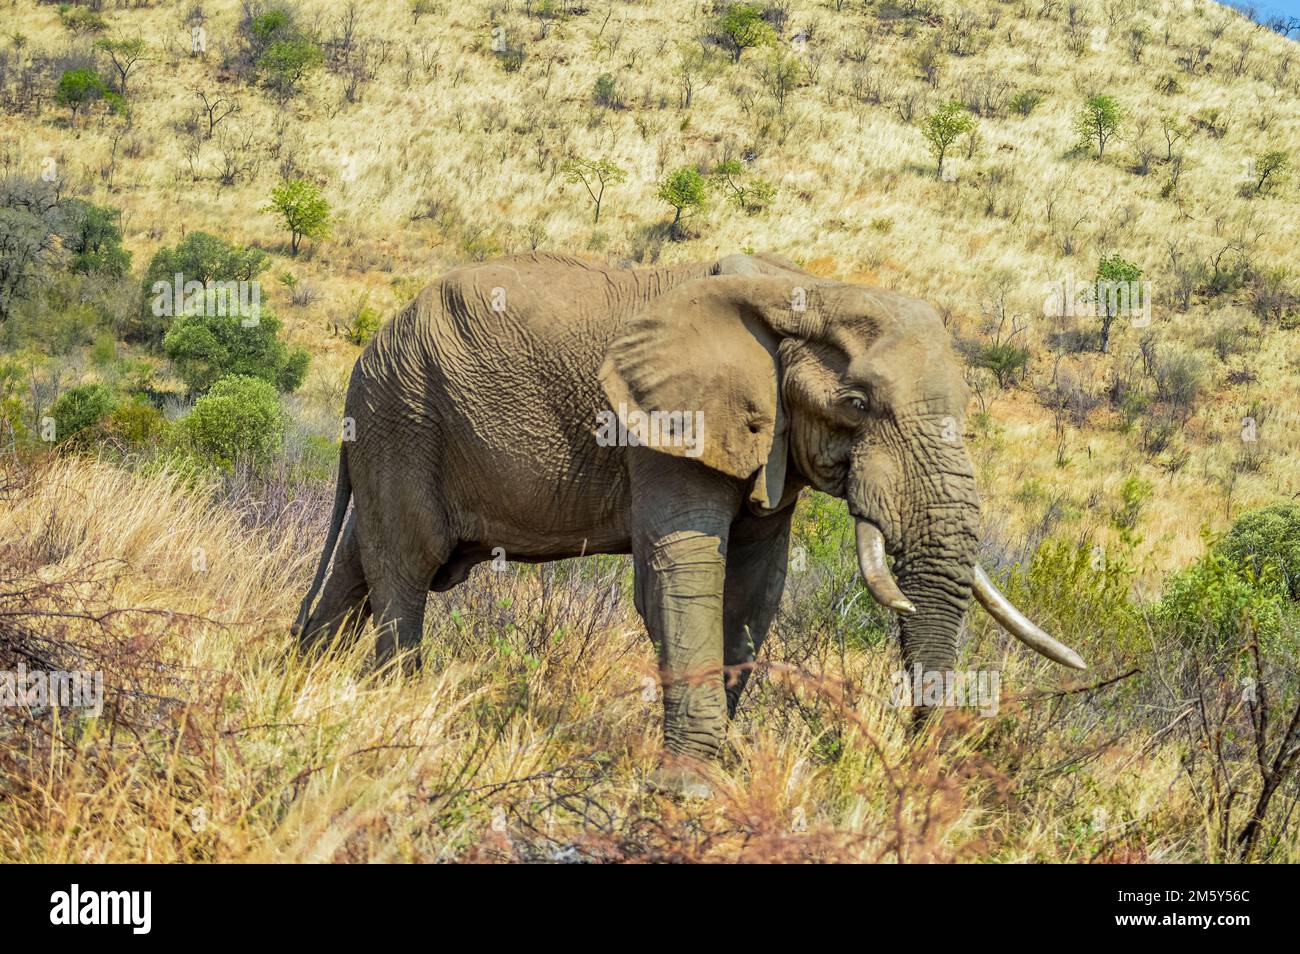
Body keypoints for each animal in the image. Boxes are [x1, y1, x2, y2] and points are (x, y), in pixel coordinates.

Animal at [292, 251, 1085, 797]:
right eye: (858, 405)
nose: (921, 778)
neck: (802, 289)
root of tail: (367, 354)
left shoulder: (767, 444)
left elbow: (755, 589)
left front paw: (719, 773)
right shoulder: (666, 424)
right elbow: (686, 575)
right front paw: (690, 790)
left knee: (361, 563)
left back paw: (302, 678)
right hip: (404, 417)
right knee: (409, 563)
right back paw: (397, 705)